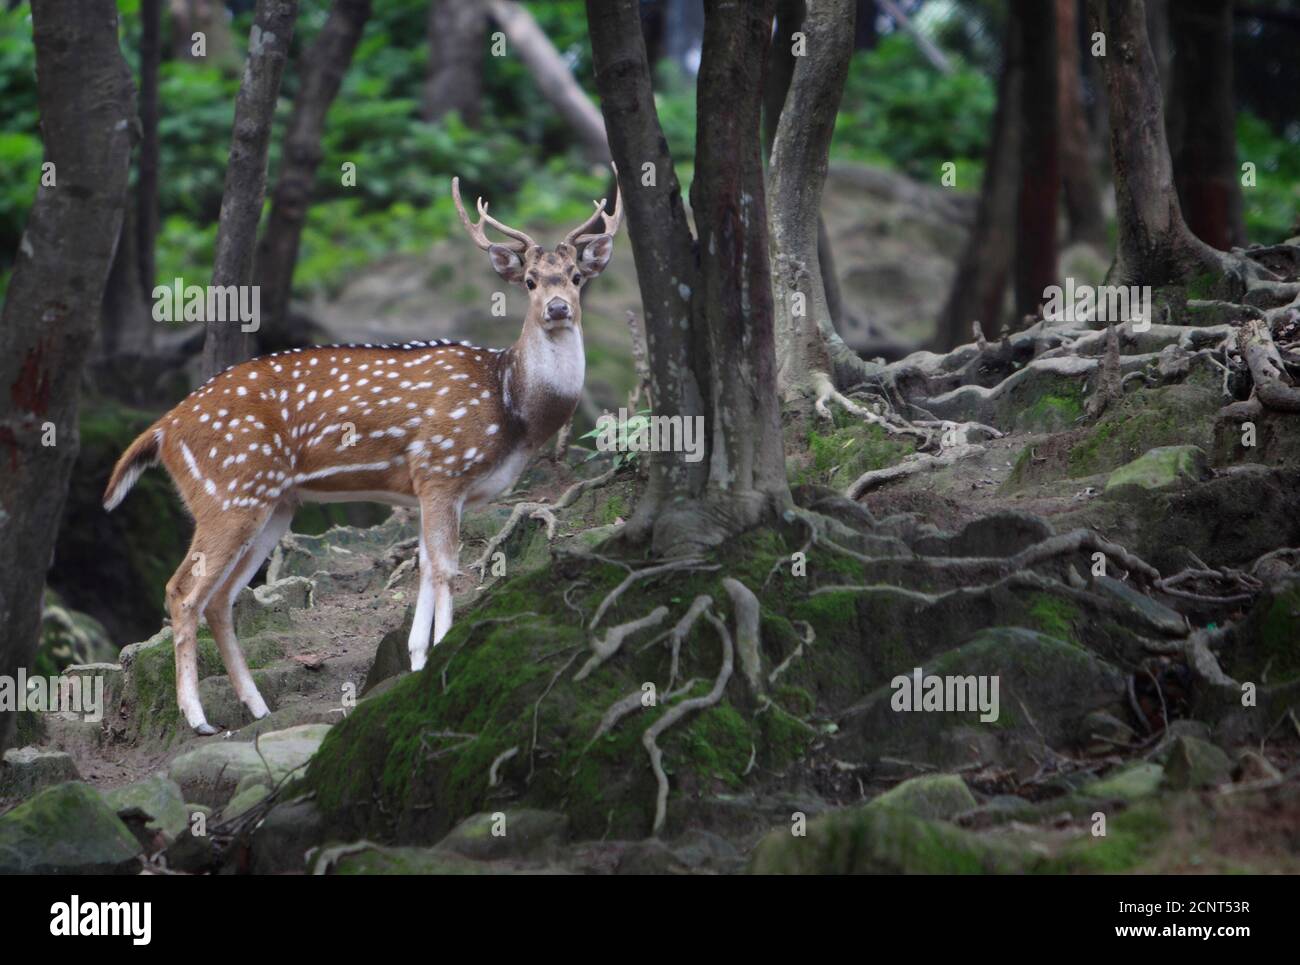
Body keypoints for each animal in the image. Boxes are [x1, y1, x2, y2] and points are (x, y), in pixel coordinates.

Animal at [103, 174, 623, 735]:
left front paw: (417, 658)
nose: (558, 308)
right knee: (183, 590)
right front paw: (442, 655)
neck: (512, 407)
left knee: (222, 598)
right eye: (529, 281)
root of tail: (163, 426)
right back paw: (198, 719)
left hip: (273, 505)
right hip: (229, 491)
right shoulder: (441, 469)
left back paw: (258, 706)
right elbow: (446, 569)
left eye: (576, 277)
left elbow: (424, 565)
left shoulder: (433, 490)